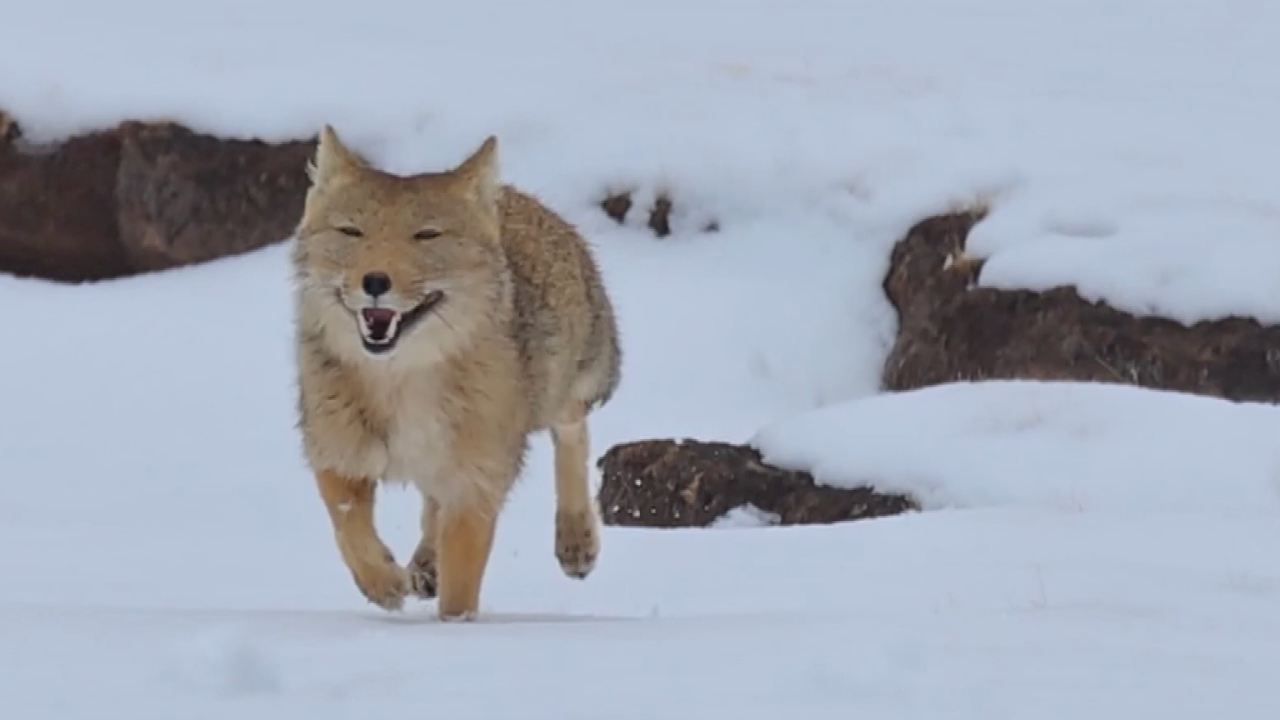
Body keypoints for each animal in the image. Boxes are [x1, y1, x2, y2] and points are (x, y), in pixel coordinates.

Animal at [290, 125, 622, 621]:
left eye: (426, 235)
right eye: (351, 231)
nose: (375, 281)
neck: (402, 383)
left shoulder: (476, 481)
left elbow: (461, 581)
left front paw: (455, 629)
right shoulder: (337, 452)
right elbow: (348, 525)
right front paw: (382, 583)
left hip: (561, 395)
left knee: (573, 433)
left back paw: (575, 540)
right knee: (431, 507)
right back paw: (422, 566)